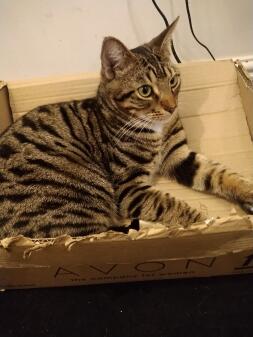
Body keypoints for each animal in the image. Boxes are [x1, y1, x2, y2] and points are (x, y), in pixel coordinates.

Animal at [0, 17, 253, 239]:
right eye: (145, 90)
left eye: (173, 81)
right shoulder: (130, 189)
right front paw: (209, 222)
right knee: (103, 232)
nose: (172, 107)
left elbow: (219, 173)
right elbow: (173, 206)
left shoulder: (178, 155)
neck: (156, 129)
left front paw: (248, 192)